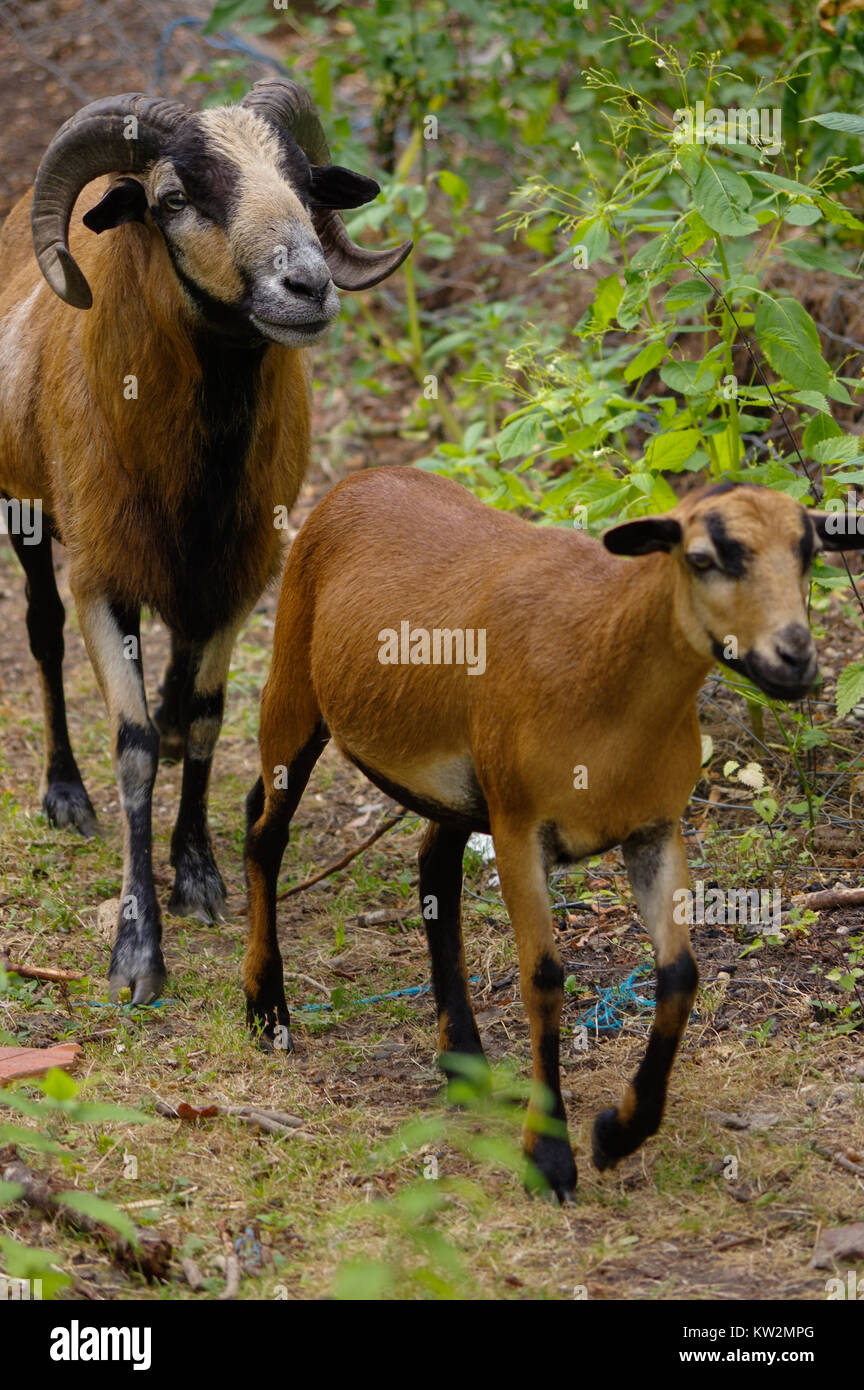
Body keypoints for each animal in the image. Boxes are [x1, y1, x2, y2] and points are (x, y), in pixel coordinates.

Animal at [0, 80, 411, 1004]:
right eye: (175, 199)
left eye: (304, 183)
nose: (308, 284)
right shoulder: (102, 578)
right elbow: (135, 748)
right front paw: (137, 953)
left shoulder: (239, 575)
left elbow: (205, 719)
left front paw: (197, 876)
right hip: (26, 511)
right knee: (41, 631)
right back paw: (63, 794)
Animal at [243, 468, 862, 1198]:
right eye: (703, 558)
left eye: (809, 553)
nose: (795, 660)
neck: (605, 673)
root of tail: (364, 478)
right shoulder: (519, 829)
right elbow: (542, 978)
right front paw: (549, 1156)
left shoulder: (655, 828)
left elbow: (681, 974)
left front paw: (618, 1132)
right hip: (293, 686)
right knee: (264, 835)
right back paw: (267, 1012)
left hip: (458, 783)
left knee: (432, 866)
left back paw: (464, 1061)